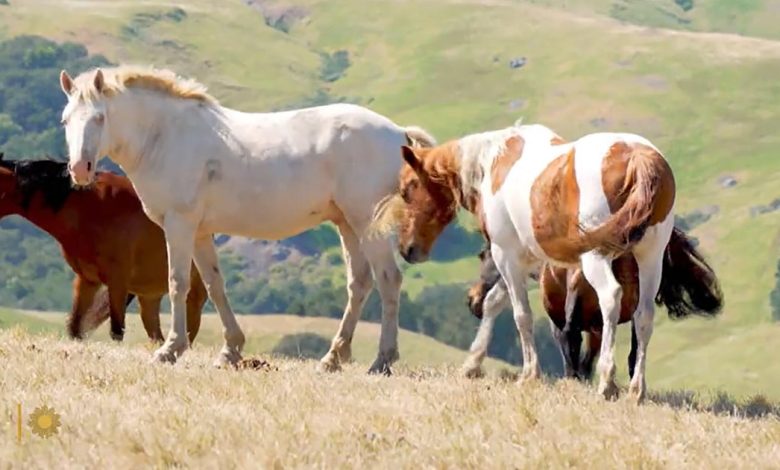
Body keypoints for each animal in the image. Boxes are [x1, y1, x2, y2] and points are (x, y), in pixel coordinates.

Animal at [0, 154, 207, 342]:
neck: (89, 207)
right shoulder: (87, 280)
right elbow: (75, 328)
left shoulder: (118, 282)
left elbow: (116, 331)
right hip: (149, 296)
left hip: (192, 296)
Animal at [58, 66, 436, 372]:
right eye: (65, 120)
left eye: (99, 117)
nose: (80, 169)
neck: (165, 136)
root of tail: (397, 132)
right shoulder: (199, 233)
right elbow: (214, 285)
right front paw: (230, 351)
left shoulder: (179, 225)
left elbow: (177, 283)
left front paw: (170, 350)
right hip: (348, 225)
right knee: (359, 284)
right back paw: (332, 358)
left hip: (367, 224)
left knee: (388, 280)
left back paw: (382, 360)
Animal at [373, 123, 687, 402]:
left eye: (408, 189)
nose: (407, 249)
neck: (494, 164)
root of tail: (637, 155)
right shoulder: (529, 261)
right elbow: (494, 302)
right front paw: (473, 363)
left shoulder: (506, 255)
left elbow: (520, 314)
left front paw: (528, 374)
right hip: (650, 258)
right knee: (643, 316)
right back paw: (636, 390)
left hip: (596, 258)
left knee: (610, 298)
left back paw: (607, 381)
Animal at [463, 227, 723, 380]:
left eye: (482, 255)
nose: (472, 300)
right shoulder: (597, 329)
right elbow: (589, 362)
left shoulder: (561, 321)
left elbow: (572, 358)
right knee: (633, 355)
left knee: (574, 346)